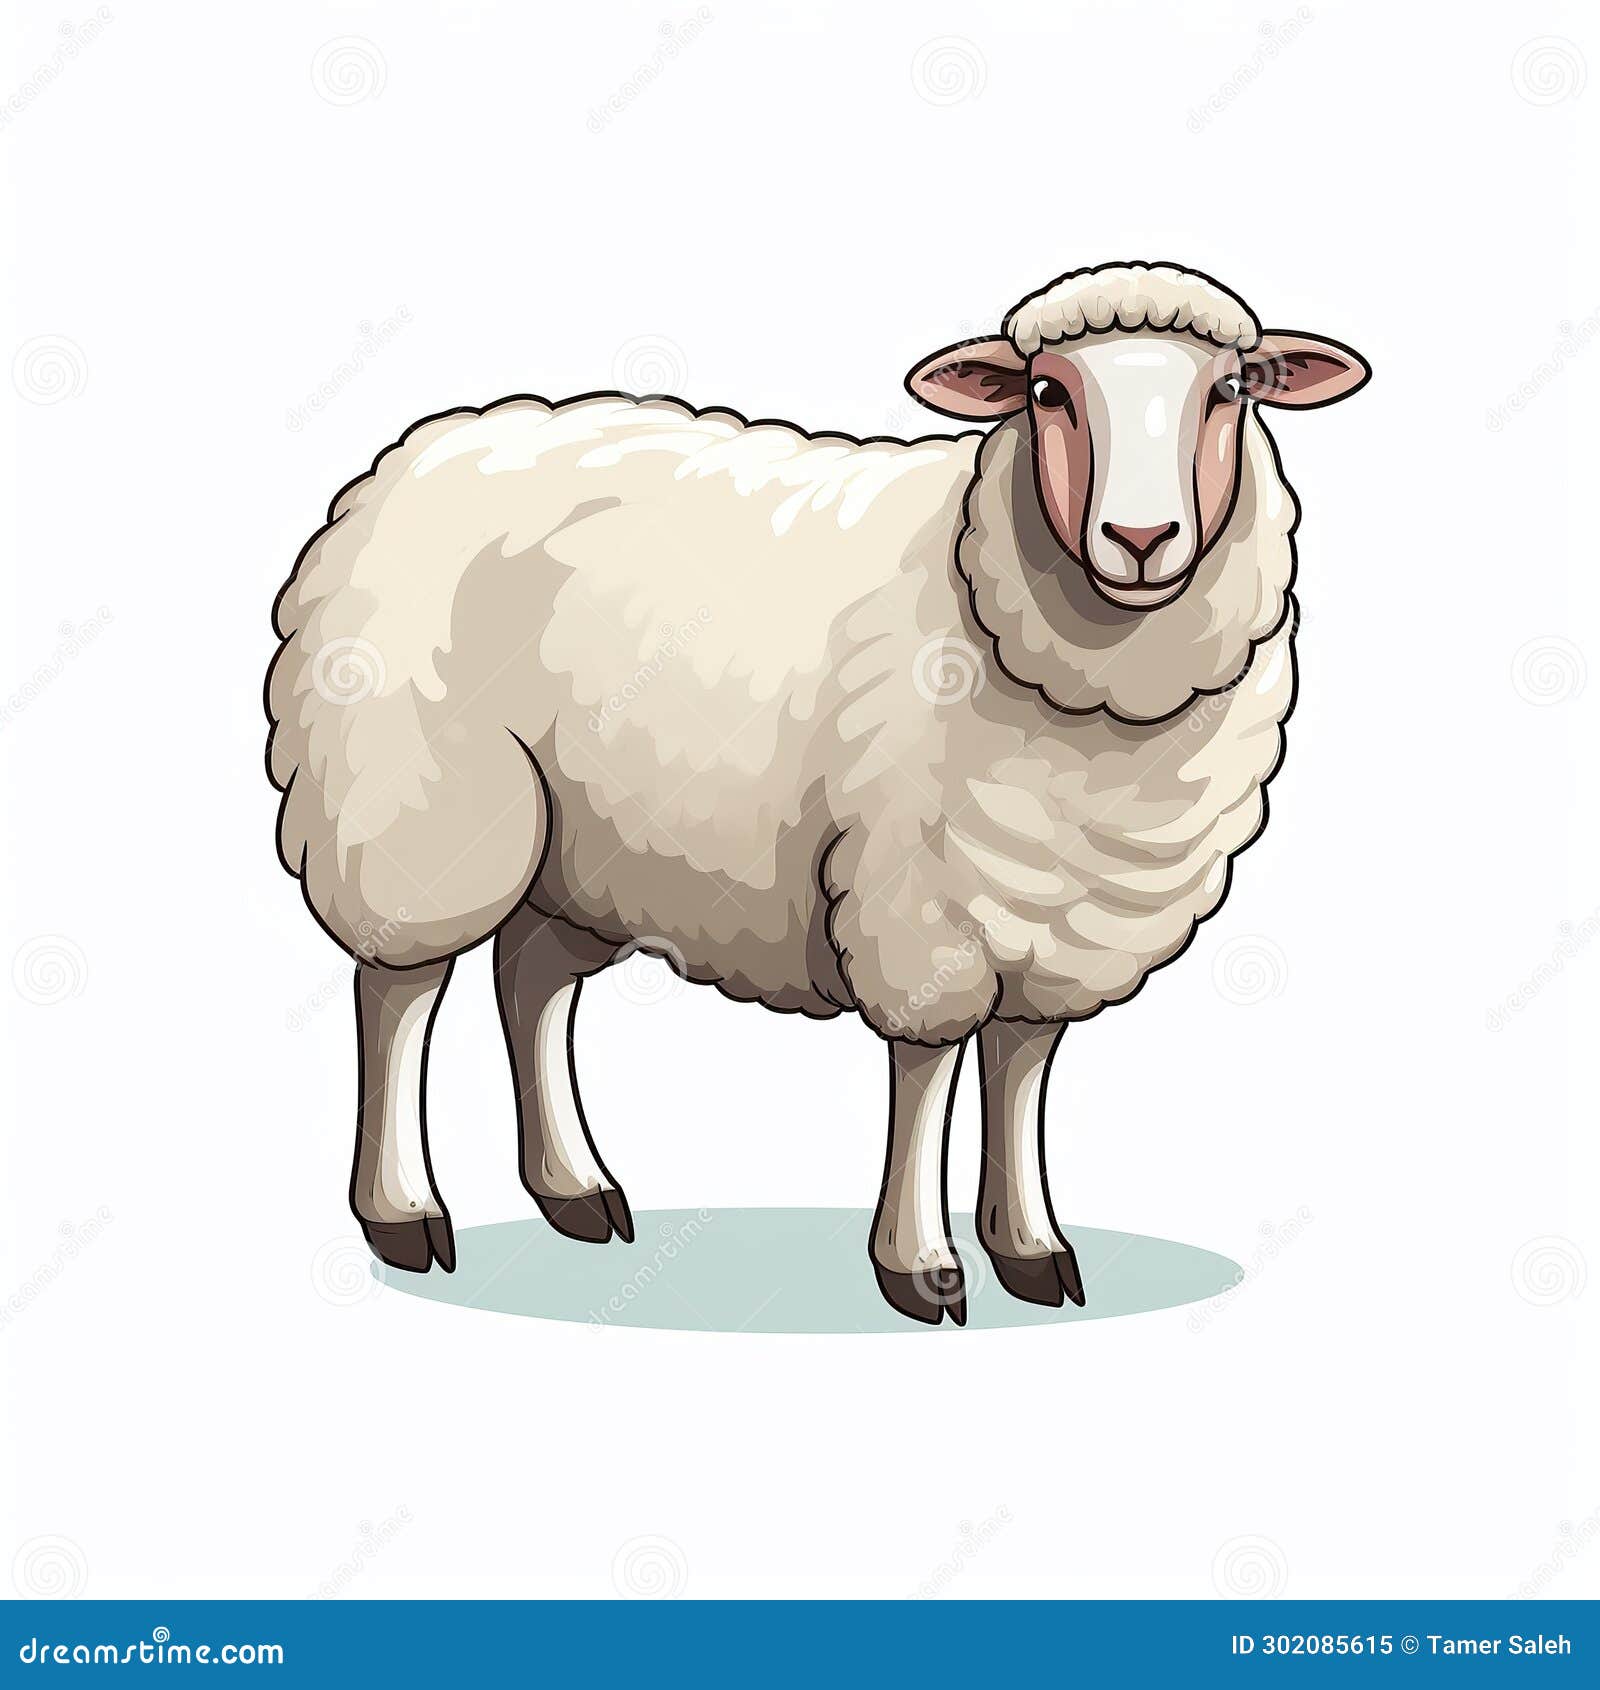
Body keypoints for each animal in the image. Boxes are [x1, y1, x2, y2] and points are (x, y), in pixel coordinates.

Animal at [265, 260, 1369, 1326]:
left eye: (1228, 390)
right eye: (1048, 393)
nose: (1140, 537)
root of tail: (426, 446)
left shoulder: (1054, 918)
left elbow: (1020, 1070)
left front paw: (1029, 1245)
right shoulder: (919, 901)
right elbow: (928, 1077)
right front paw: (921, 1265)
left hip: (578, 847)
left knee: (530, 982)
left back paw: (574, 1189)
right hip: (423, 805)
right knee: (399, 992)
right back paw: (403, 1212)